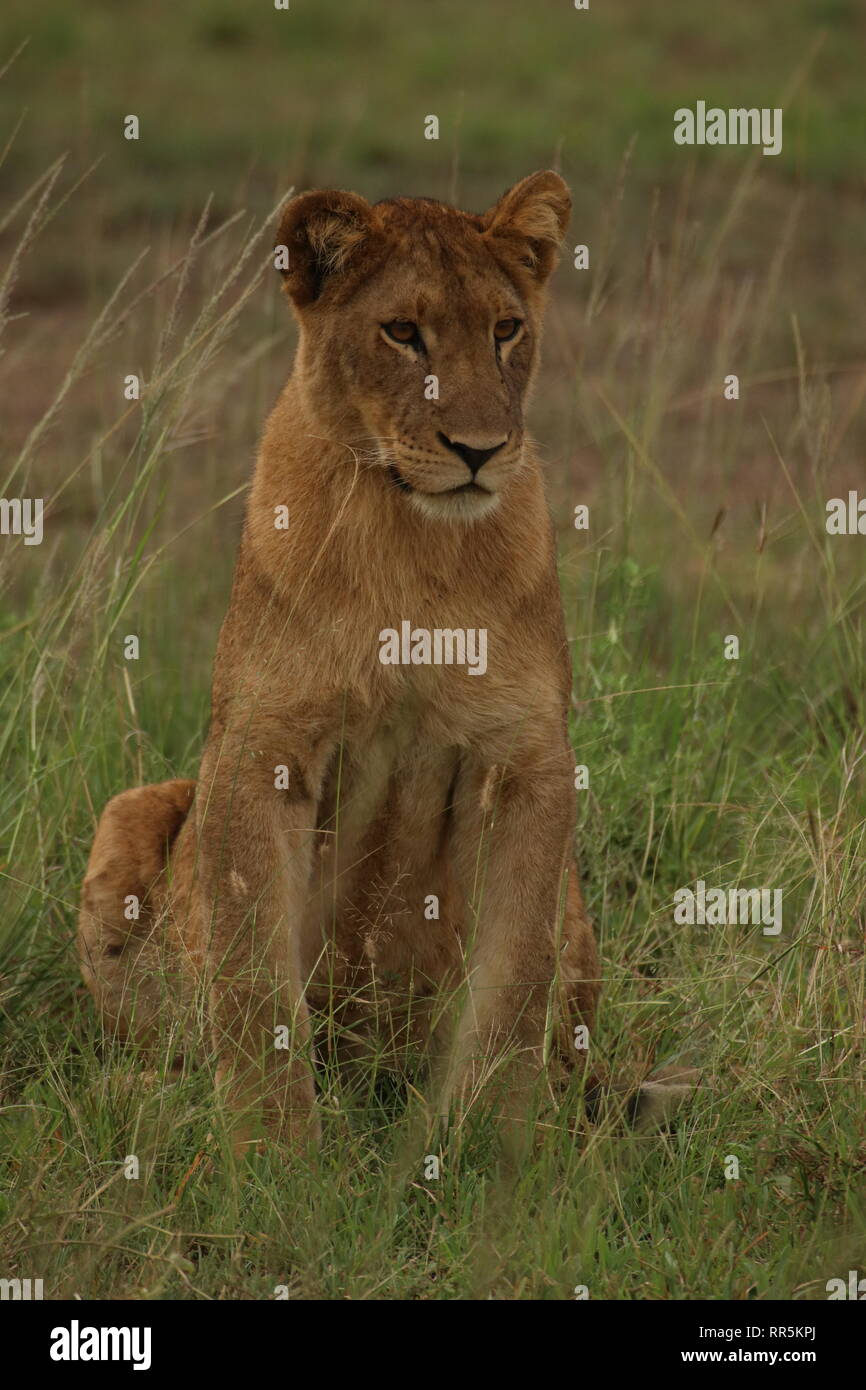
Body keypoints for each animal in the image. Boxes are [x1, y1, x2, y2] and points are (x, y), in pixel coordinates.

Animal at [78, 171, 605, 1154]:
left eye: (506, 329)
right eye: (402, 332)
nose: (480, 451)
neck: (411, 542)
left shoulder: (528, 762)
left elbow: (516, 976)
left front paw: (492, 1145)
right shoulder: (260, 750)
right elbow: (250, 975)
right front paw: (271, 1151)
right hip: (132, 809)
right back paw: (144, 1102)